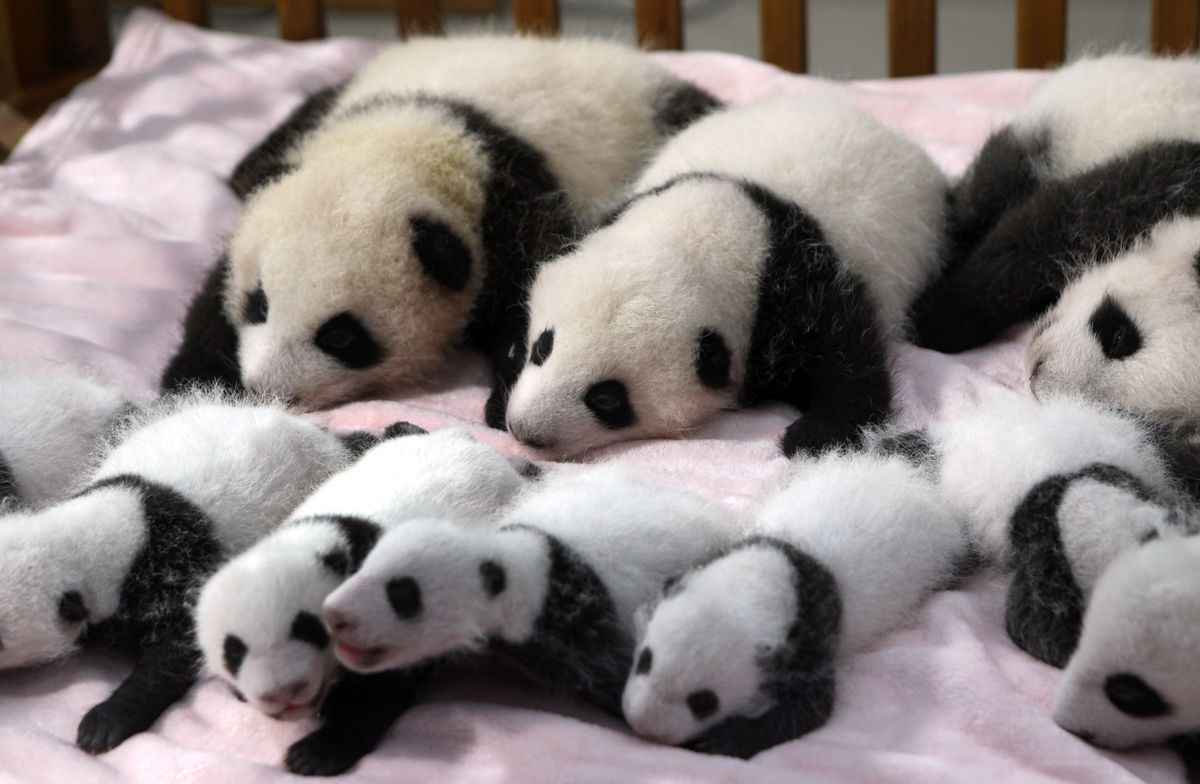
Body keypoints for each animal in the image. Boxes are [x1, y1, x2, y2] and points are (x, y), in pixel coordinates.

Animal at [161, 35, 721, 426]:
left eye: (341, 336)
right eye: (258, 303)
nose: (266, 390)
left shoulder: (511, 203)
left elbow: (532, 294)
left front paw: (506, 397)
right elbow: (212, 297)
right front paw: (194, 384)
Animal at [193, 425, 533, 776]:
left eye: (310, 629)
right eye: (234, 652)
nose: (283, 693)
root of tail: (461, 441)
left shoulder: (388, 608)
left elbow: (381, 688)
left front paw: (316, 754)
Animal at [503, 95, 946, 458]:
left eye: (607, 398)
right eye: (542, 347)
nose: (525, 432)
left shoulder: (798, 284)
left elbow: (847, 353)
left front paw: (813, 437)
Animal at [621, 451, 969, 758]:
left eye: (703, 701)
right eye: (645, 660)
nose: (644, 725)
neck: (762, 577)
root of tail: (912, 480)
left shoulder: (812, 636)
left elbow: (812, 707)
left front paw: (727, 739)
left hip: (941, 556)